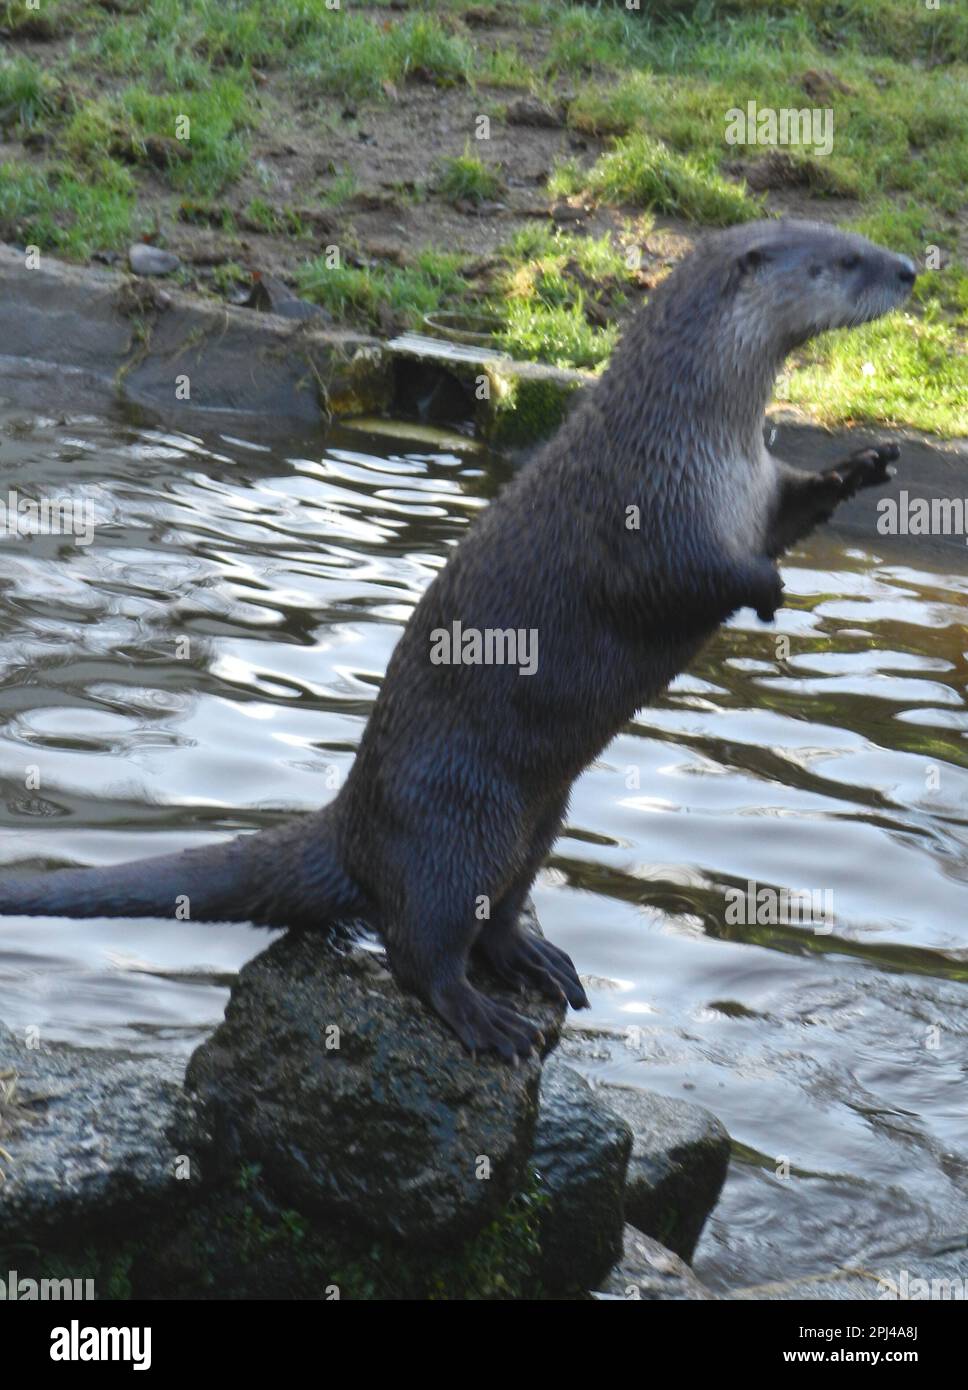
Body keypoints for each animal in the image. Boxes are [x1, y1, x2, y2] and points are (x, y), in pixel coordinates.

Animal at [0, 220, 916, 1060]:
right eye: (845, 260)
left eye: (859, 241)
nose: (910, 267)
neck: (701, 441)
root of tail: (352, 826)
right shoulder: (648, 517)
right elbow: (688, 580)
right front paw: (767, 591)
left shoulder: (755, 494)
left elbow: (796, 510)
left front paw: (863, 466)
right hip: (452, 829)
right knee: (421, 949)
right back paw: (486, 1019)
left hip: (541, 816)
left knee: (497, 915)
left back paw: (536, 960)